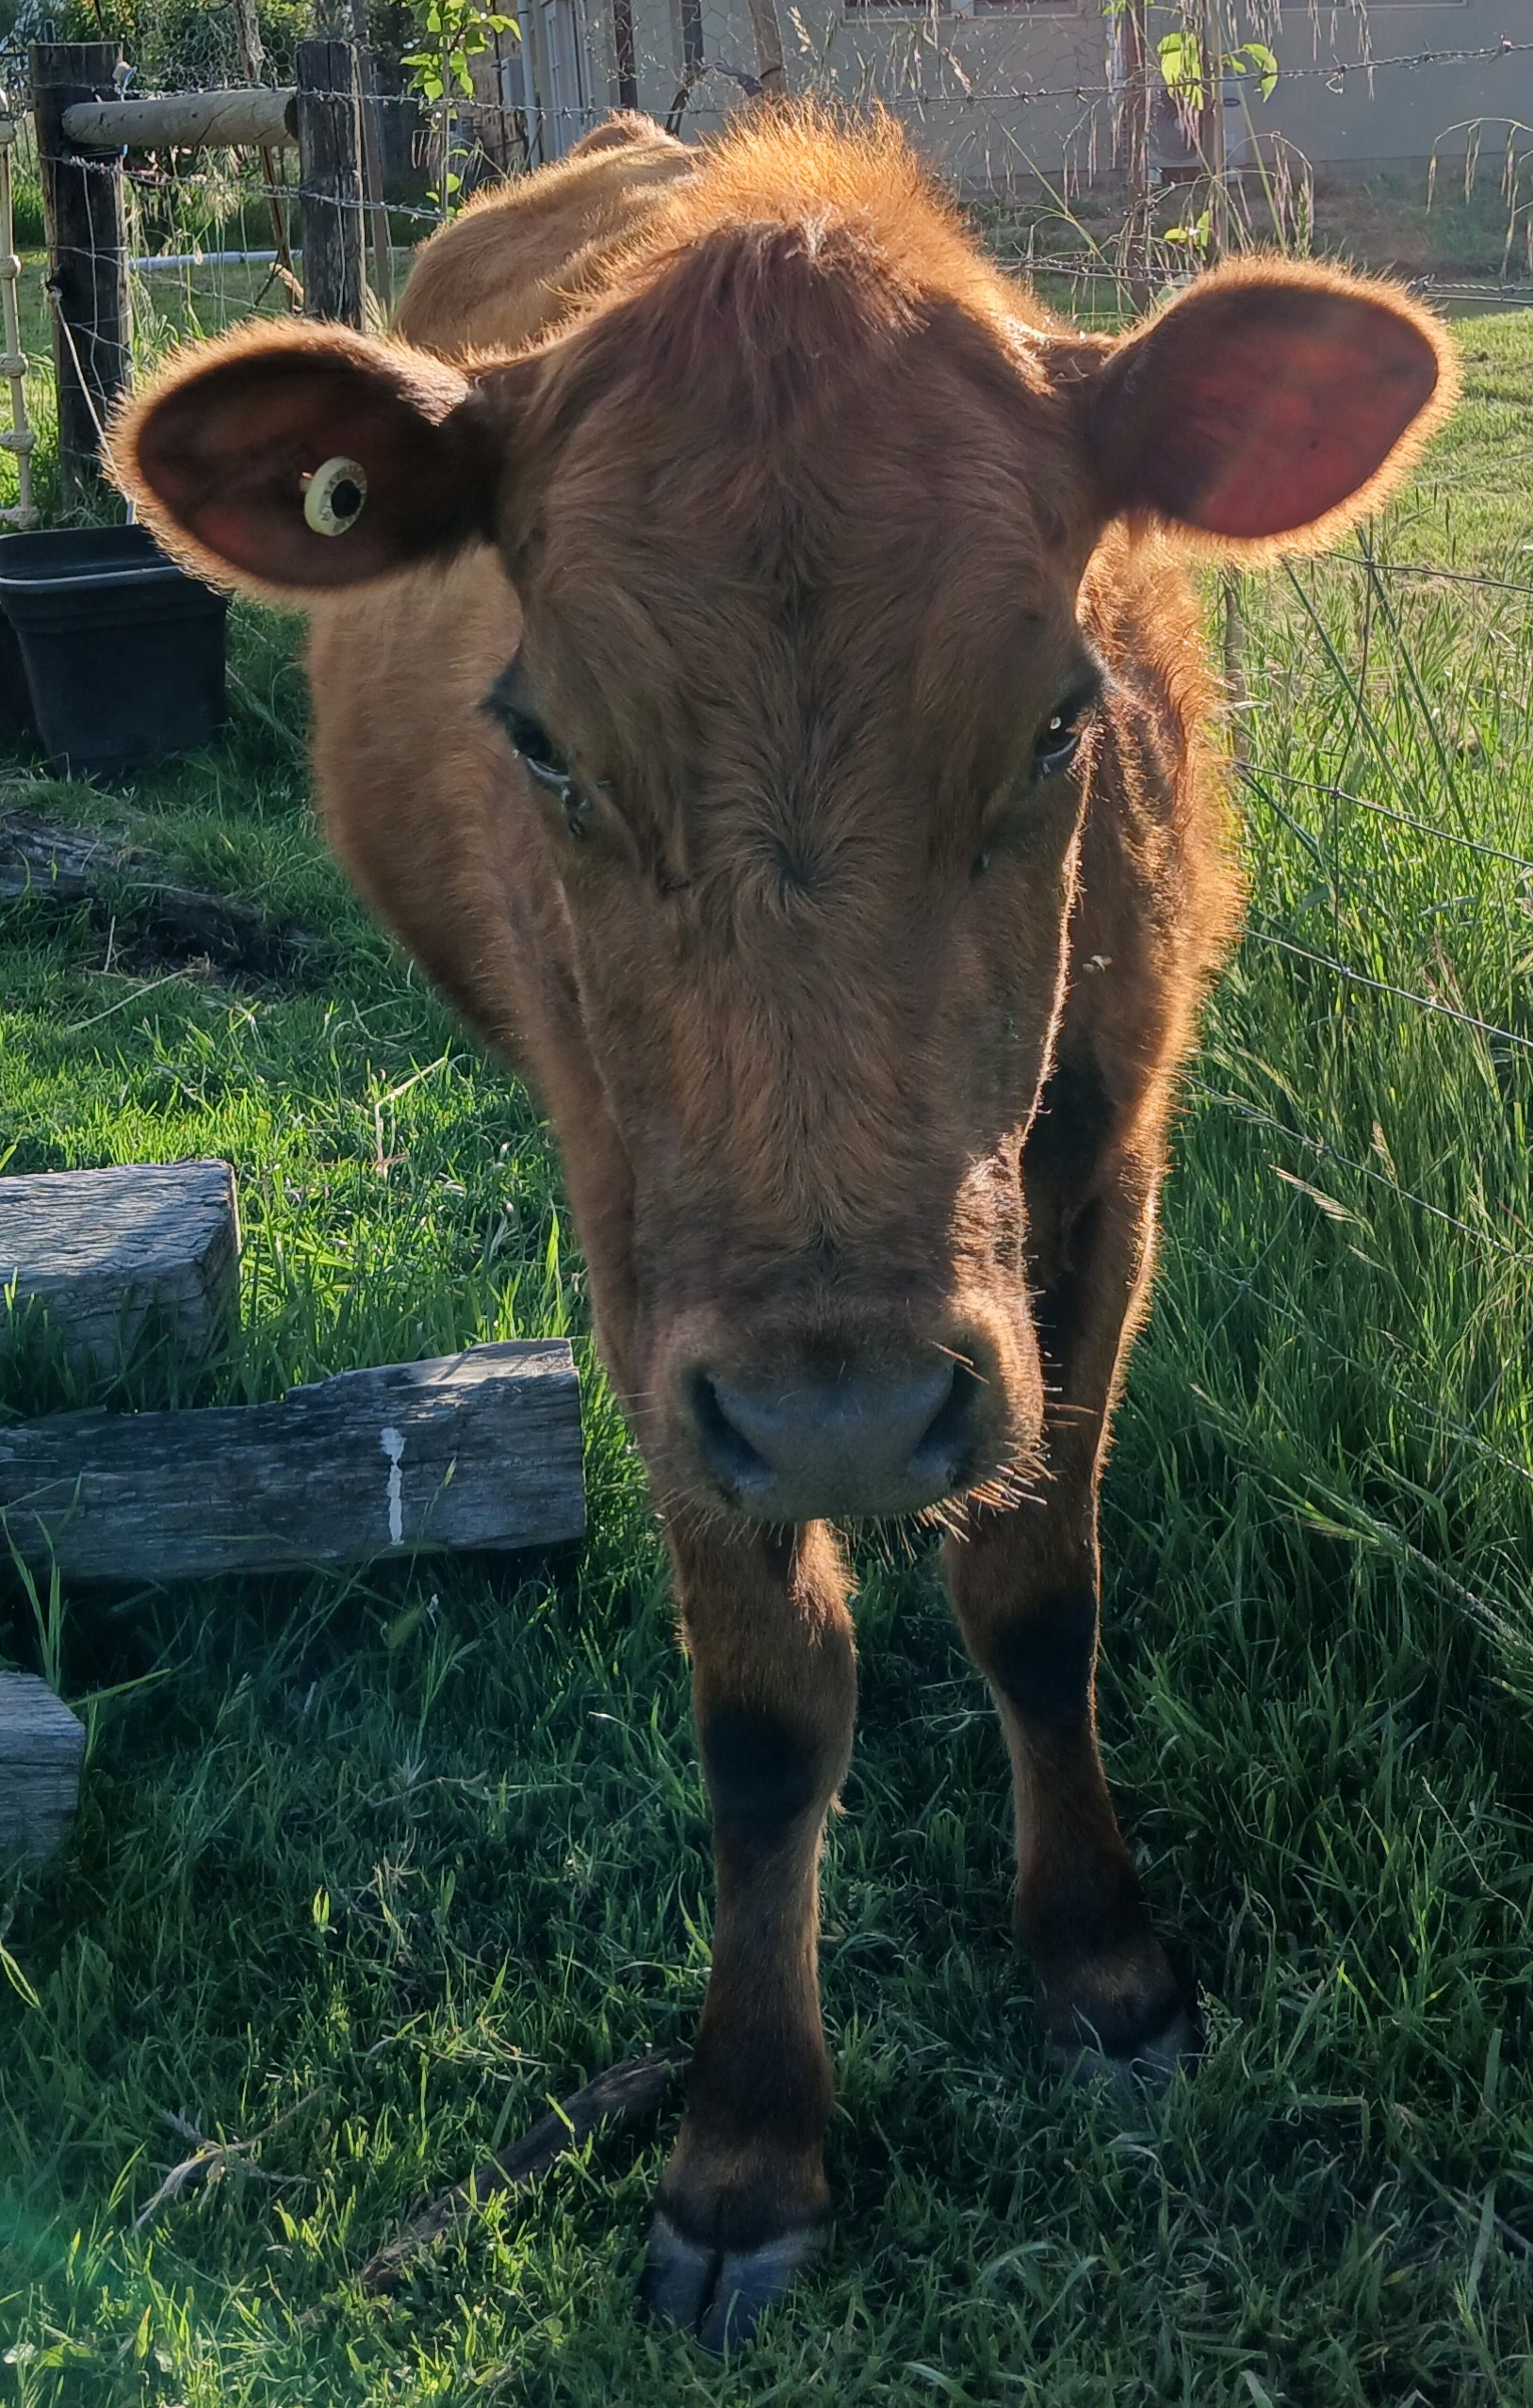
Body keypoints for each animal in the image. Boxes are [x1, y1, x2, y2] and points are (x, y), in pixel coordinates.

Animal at [114, 107, 1454, 2351]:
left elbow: (1038, 1593)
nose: (843, 1415)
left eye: (1058, 720)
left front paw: (1104, 1963)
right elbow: (762, 1711)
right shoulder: (662, 1291)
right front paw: (747, 2142)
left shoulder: (1110, 1175)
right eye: (542, 740)